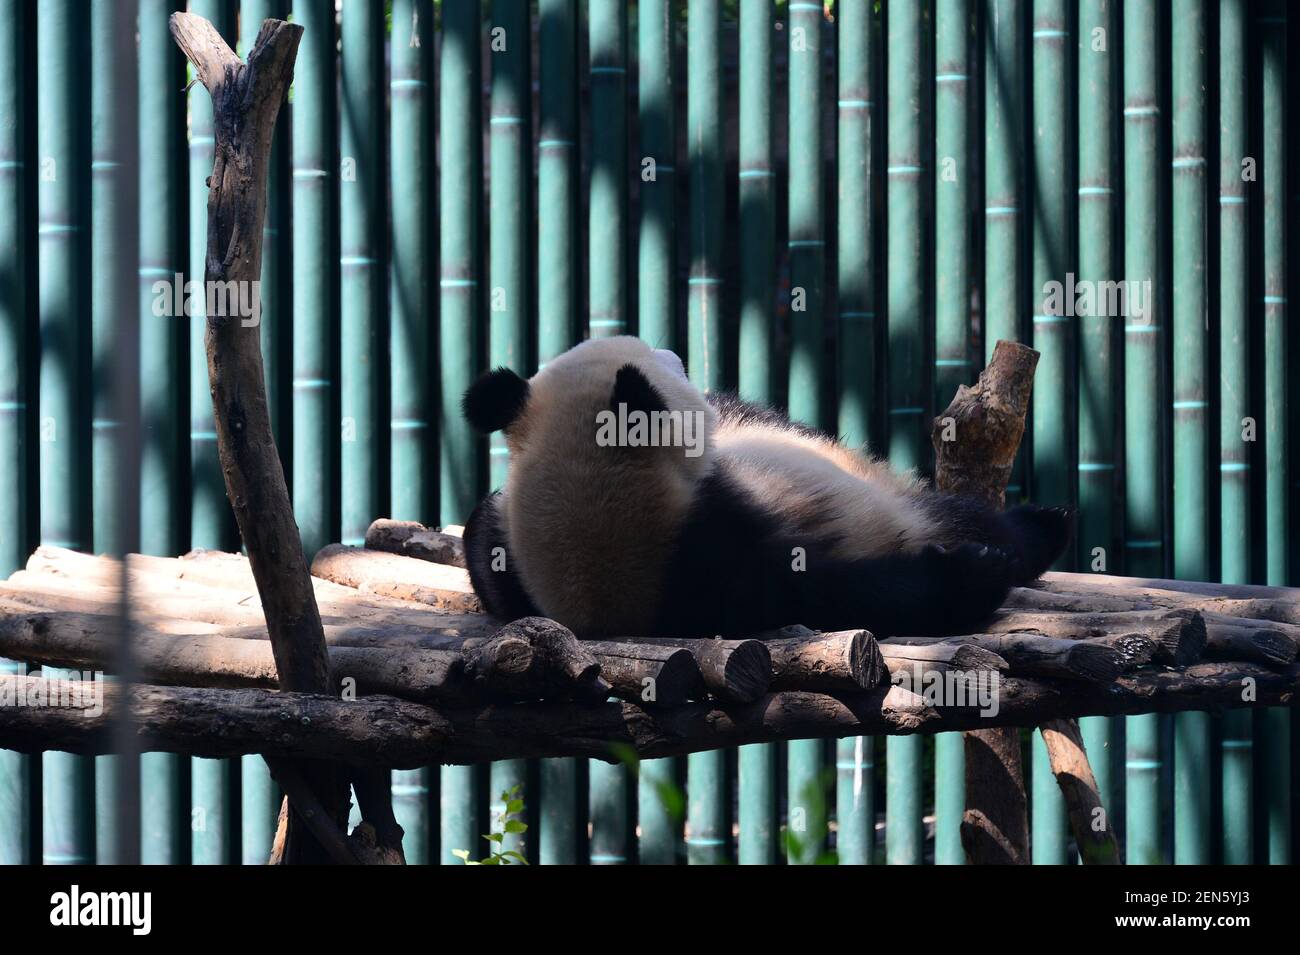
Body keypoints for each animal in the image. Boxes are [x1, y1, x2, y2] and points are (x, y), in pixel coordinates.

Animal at [461, 336, 1070, 641]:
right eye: (657, 360)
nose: (678, 355)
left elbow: (484, 535)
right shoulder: (735, 562)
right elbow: (856, 595)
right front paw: (980, 570)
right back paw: (1043, 527)